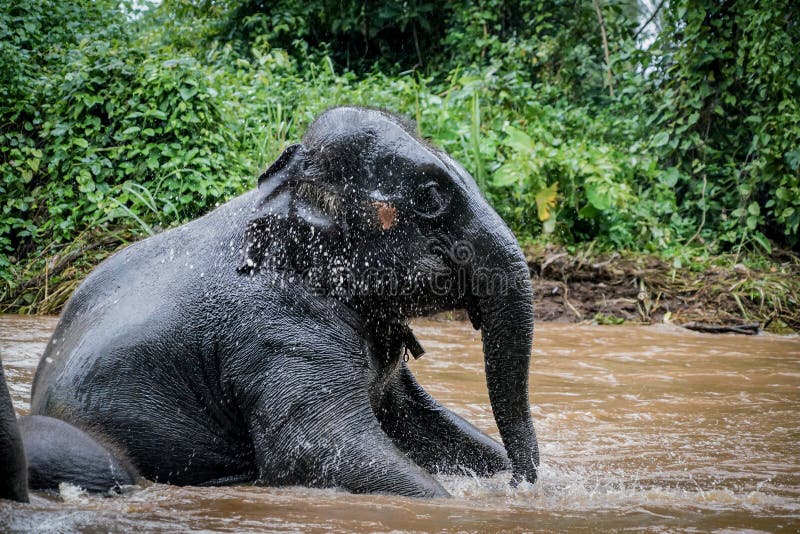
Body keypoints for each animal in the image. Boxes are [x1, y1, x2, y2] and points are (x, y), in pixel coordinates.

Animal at [5, 106, 538, 499]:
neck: (285, 189)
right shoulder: (276, 335)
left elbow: (417, 422)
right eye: (430, 196)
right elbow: (318, 454)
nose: (517, 485)